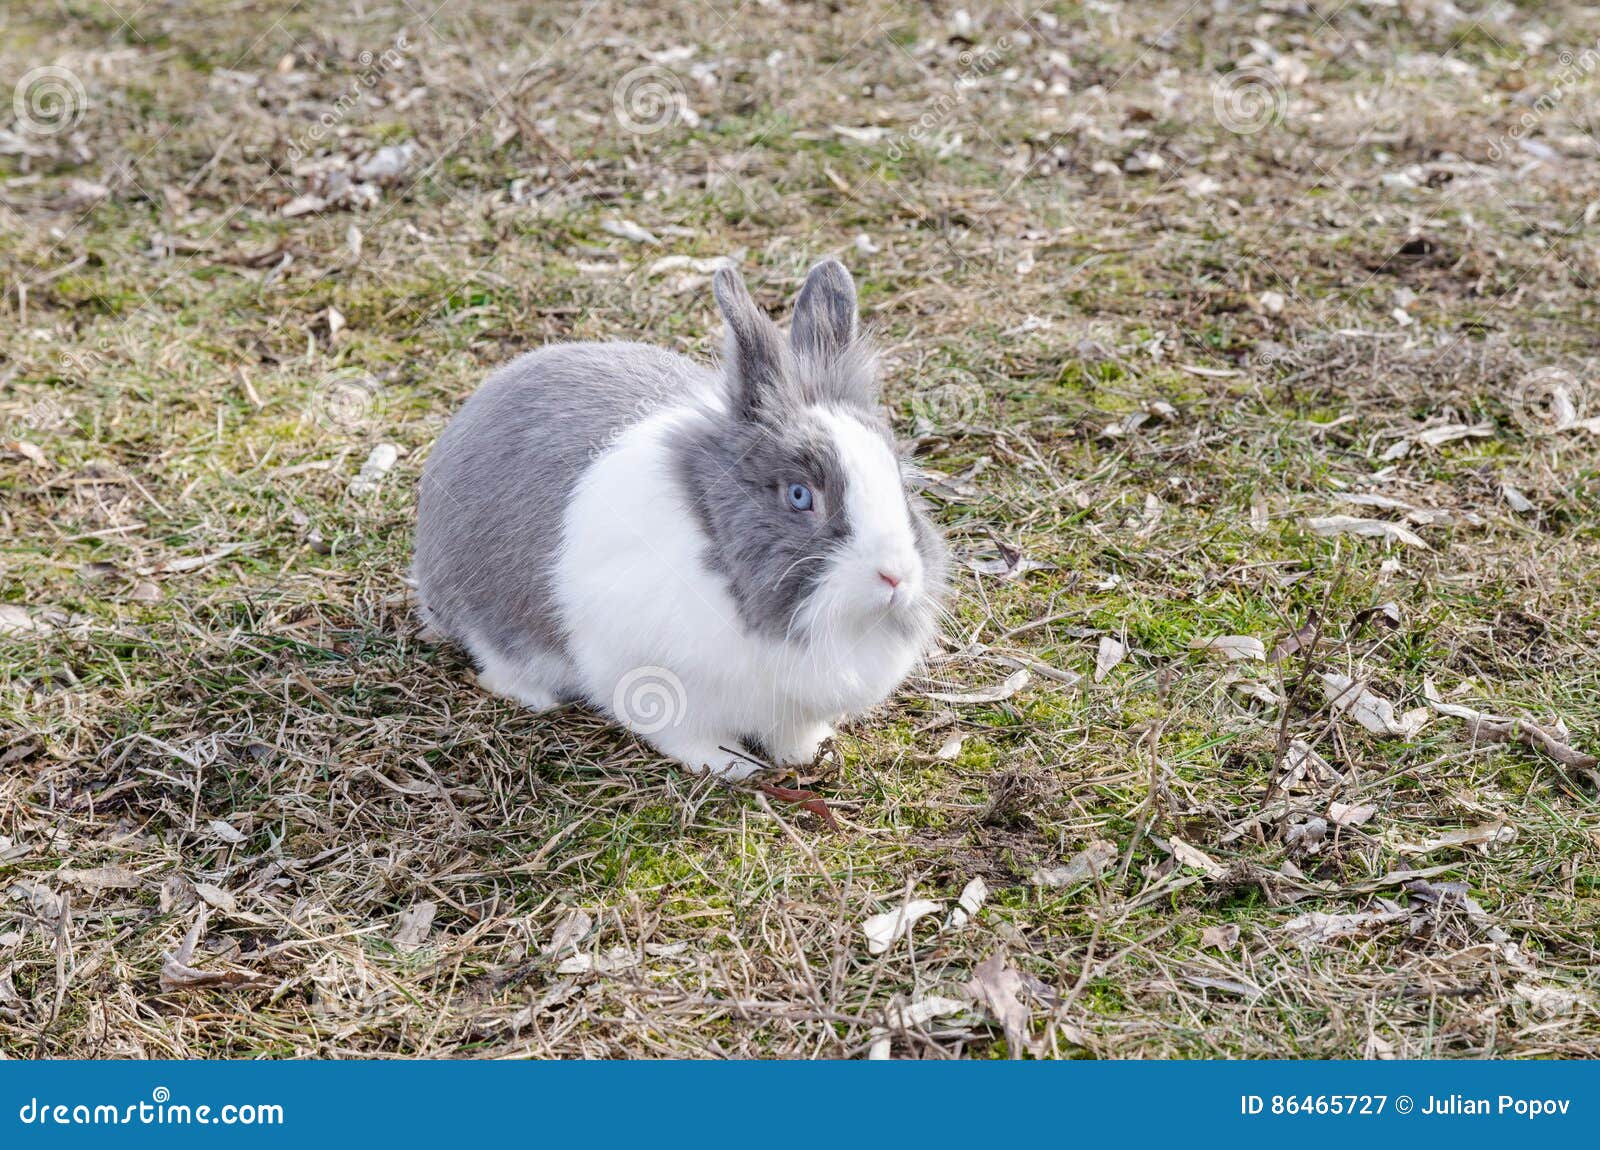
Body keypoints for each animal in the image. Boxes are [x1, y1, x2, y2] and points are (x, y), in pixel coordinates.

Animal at [413, 259, 947, 779]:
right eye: (799, 496)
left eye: (899, 481)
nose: (896, 575)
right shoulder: (653, 680)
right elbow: (686, 735)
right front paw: (732, 766)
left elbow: (793, 734)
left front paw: (811, 753)